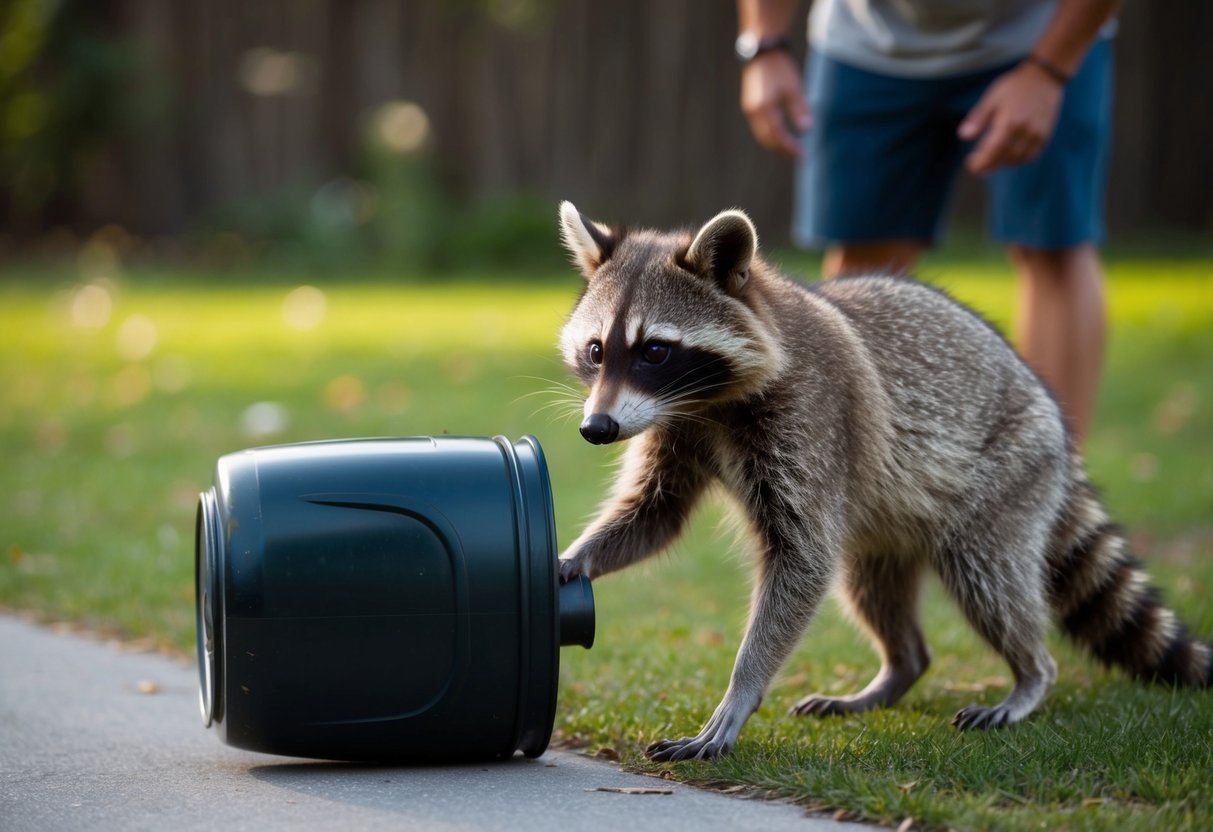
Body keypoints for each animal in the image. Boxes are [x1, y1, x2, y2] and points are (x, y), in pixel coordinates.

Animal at [555, 202, 1212, 762]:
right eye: (597, 350)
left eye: (655, 351)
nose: (595, 428)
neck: (708, 401)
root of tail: (1051, 413)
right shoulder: (677, 427)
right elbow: (654, 514)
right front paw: (574, 557)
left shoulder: (811, 417)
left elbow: (803, 561)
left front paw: (740, 692)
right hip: (887, 527)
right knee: (870, 586)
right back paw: (900, 666)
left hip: (1009, 473)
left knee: (988, 576)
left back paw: (1031, 674)